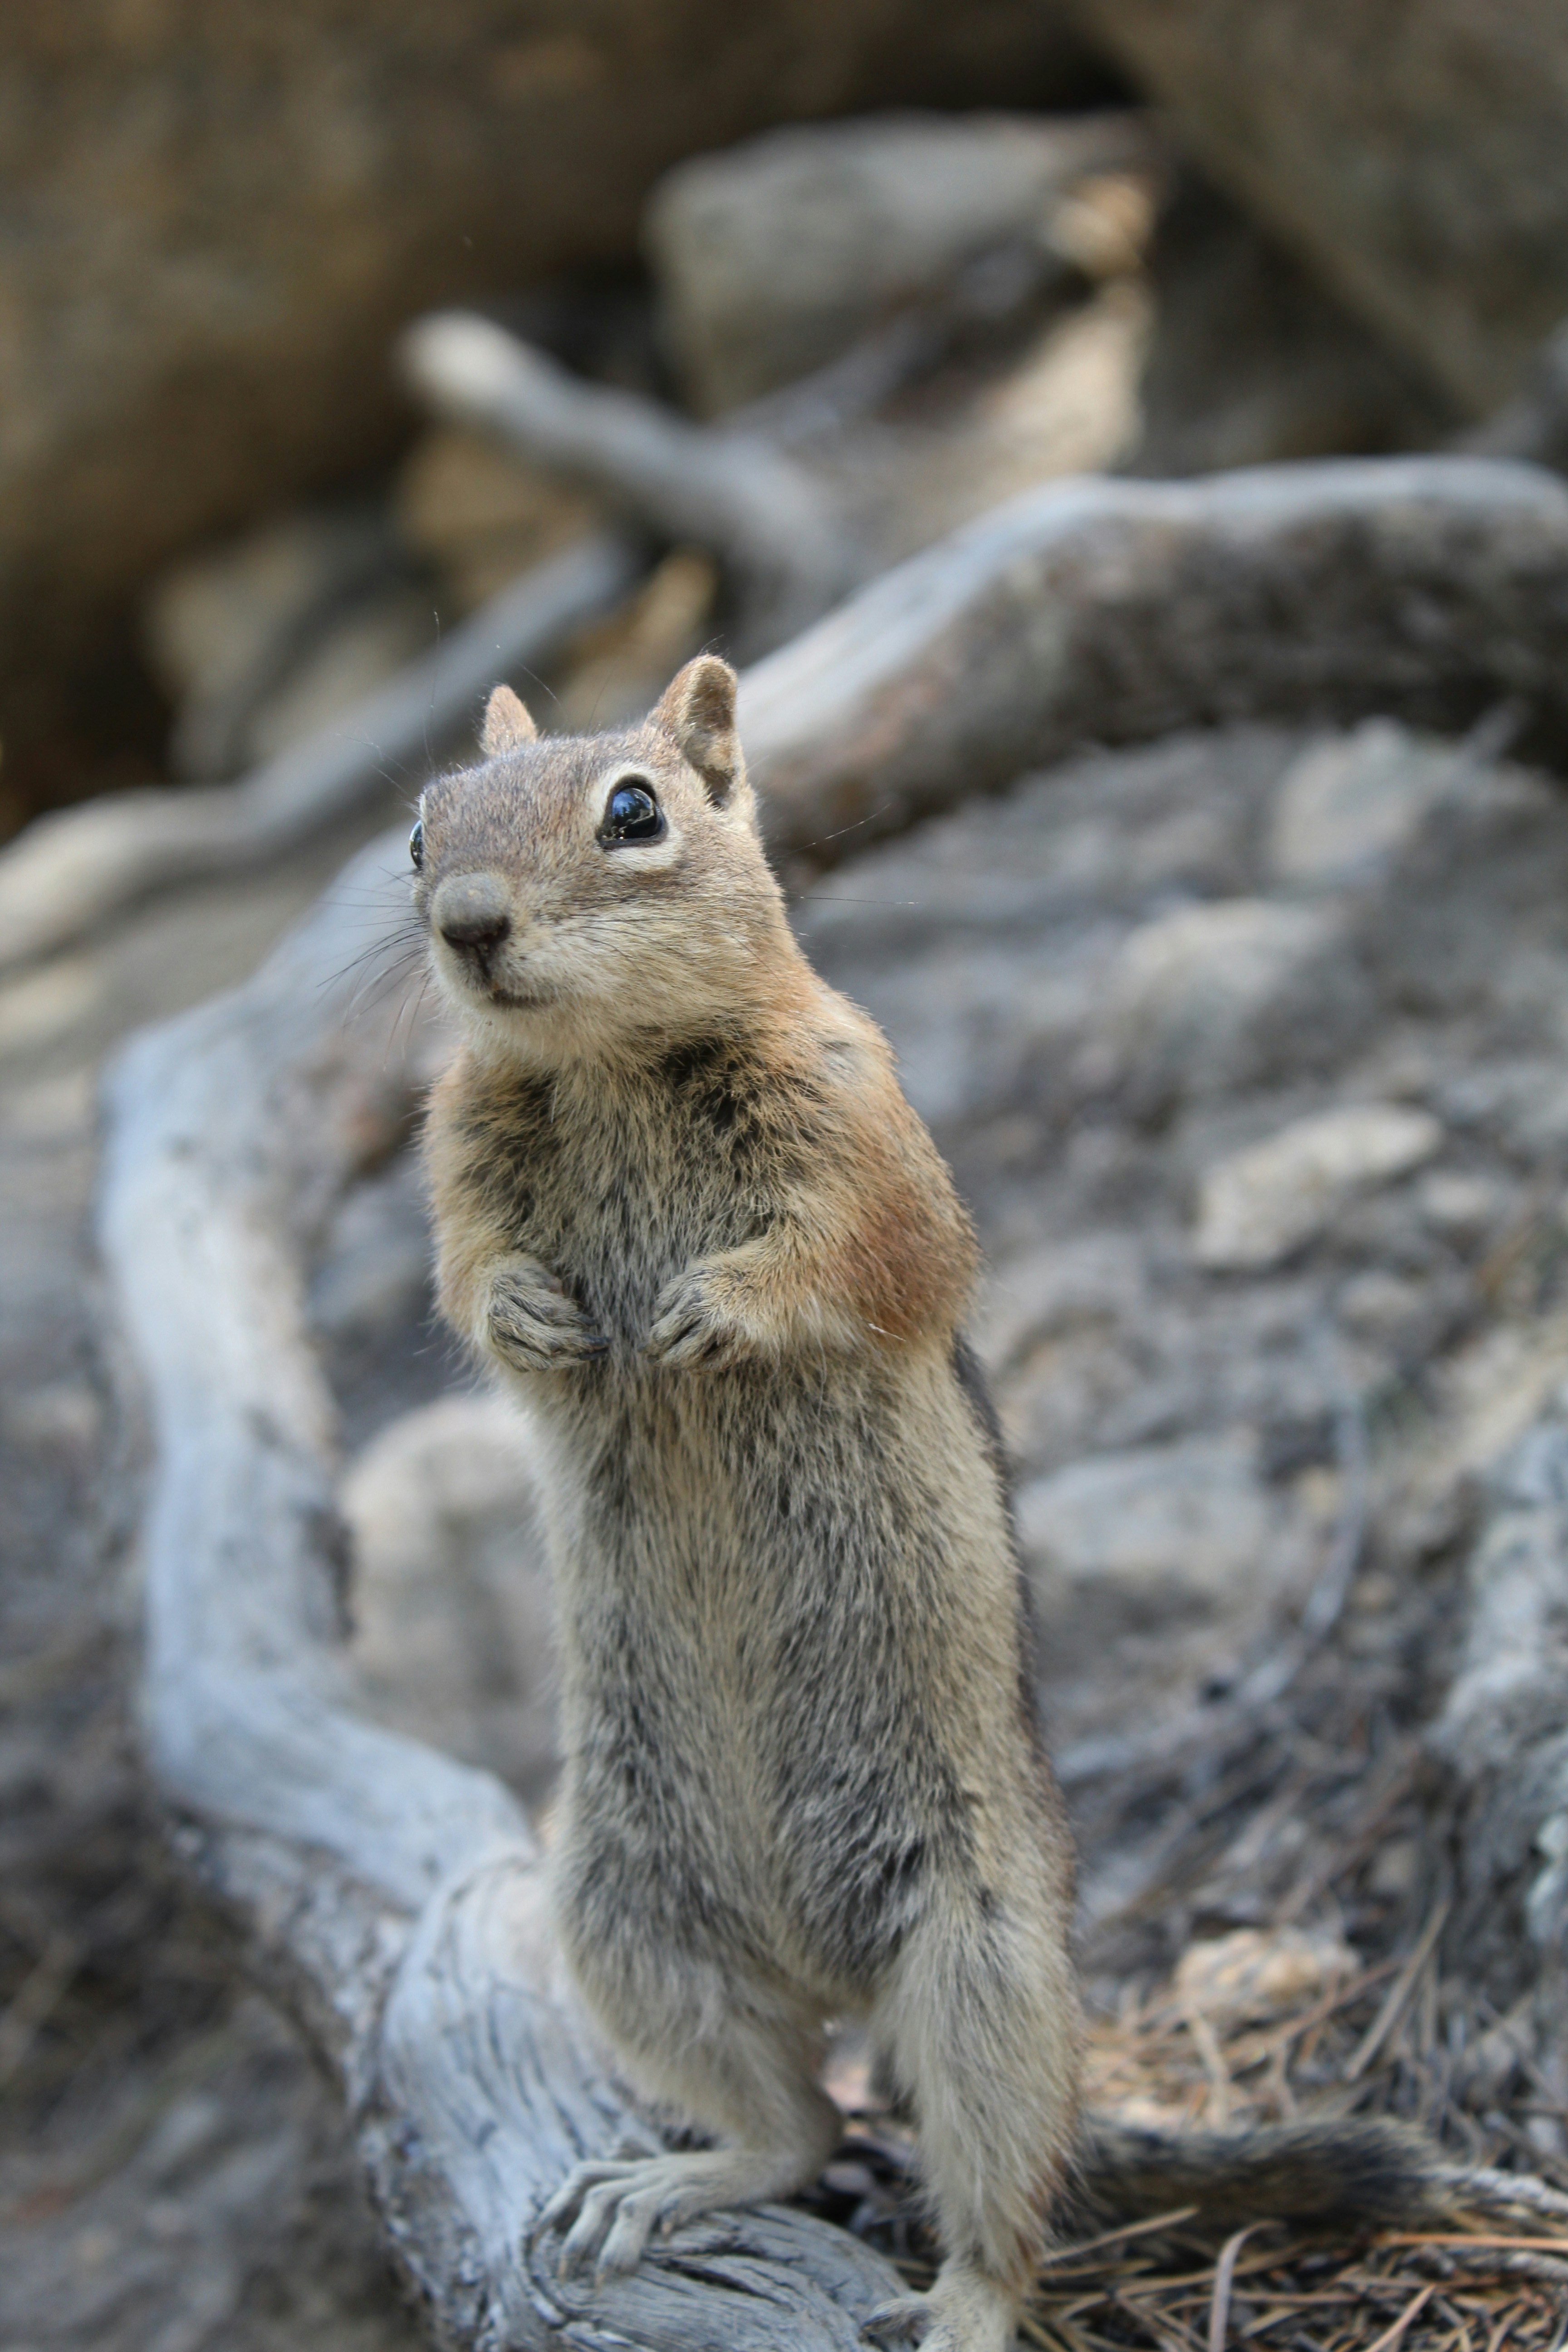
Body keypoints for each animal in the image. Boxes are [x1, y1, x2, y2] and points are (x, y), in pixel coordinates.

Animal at [417, 660, 1471, 2352]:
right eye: (419, 827)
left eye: (633, 813)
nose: (462, 923)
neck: (606, 1063)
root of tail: (837, 1978)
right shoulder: (458, 1158)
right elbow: (466, 1277)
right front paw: (534, 1316)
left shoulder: (866, 1128)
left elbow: (872, 1258)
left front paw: (712, 1310)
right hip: (625, 1910)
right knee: (797, 2125)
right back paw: (683, 2175)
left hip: (983, 1956)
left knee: (991, 2190)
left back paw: (966, 2295)